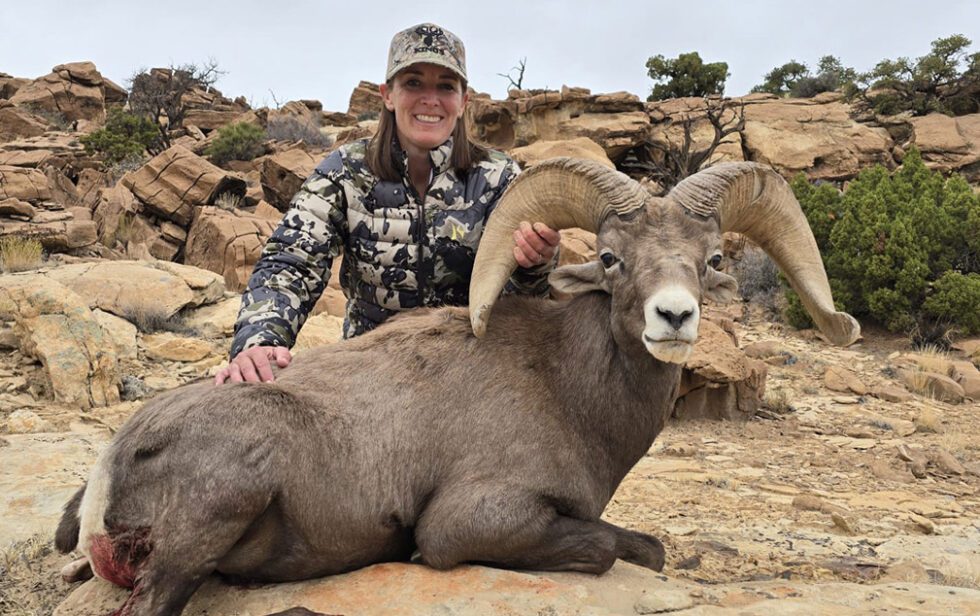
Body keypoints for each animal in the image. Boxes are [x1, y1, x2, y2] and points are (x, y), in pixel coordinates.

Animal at [55, 159, 859, 615]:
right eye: (610, 257)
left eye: (711, 257)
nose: (674, 317)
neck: (567, 391)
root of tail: (116, 461)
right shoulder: (469, 522)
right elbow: (608, 548)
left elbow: (649, 549)